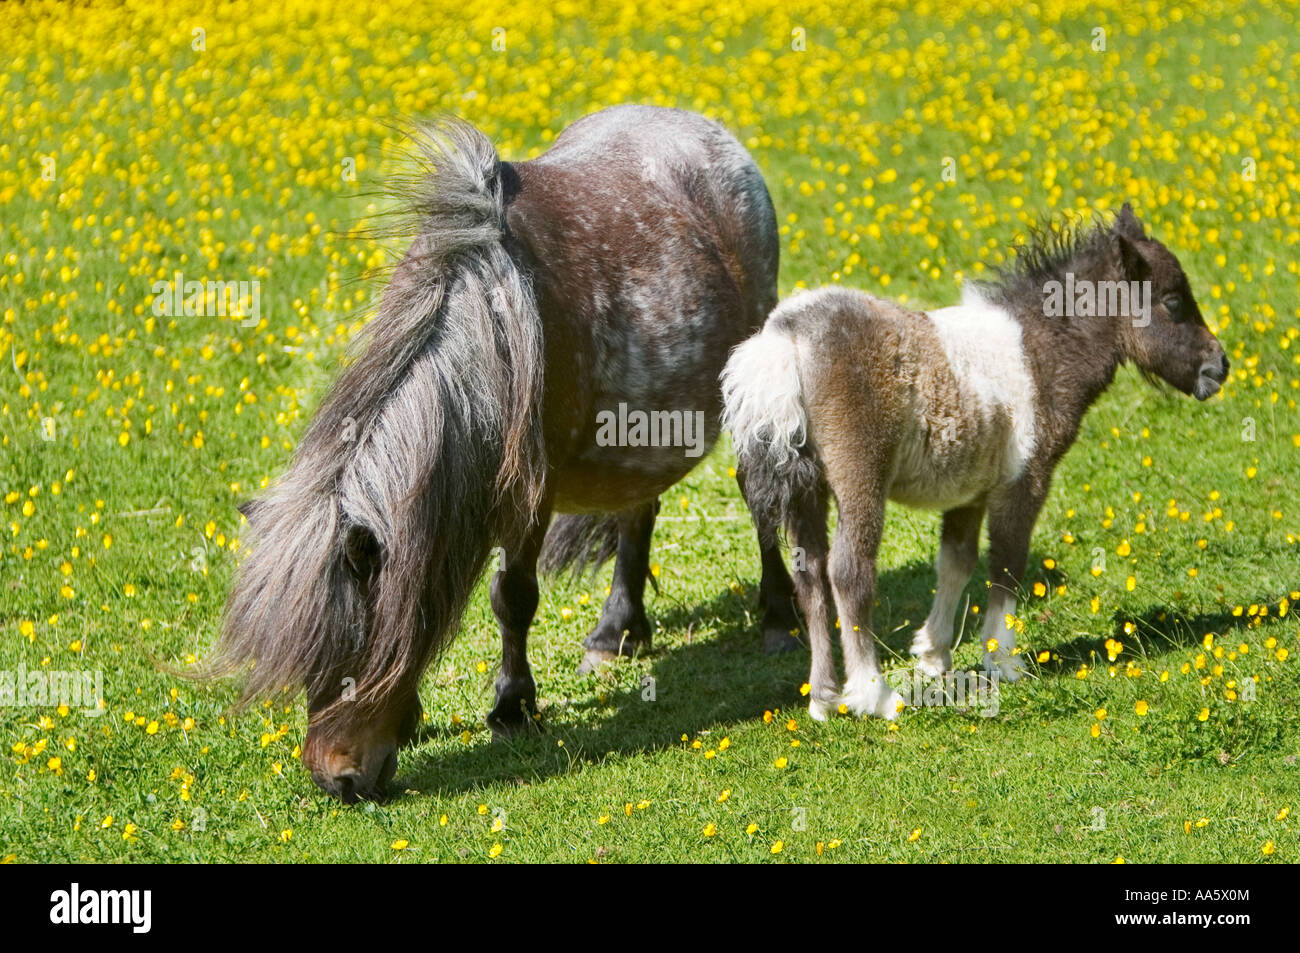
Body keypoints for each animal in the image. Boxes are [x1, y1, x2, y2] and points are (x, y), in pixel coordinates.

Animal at [204, 105, 800, 801]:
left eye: (354, 650)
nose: (338, 780)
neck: (492, 325)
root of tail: (706, 129)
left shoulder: (531, 495)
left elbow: (513, 597)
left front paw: (512, 707)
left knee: (758, 492)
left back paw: (779, 619)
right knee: (638, 509)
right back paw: (617, 629)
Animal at [721, 204, 1229, 722]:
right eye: (1172, 301)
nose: (1219, 367)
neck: (1039, 353)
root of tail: (785, 338)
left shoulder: (968, 489)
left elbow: (956, 561)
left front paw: (933, 653)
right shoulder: (1025, 481)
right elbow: (1007, 563)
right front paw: (1002, 660)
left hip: (807, 485)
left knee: (810, 573)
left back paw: (823, 697)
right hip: (859, 475)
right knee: (848, 570)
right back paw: (874, 693)